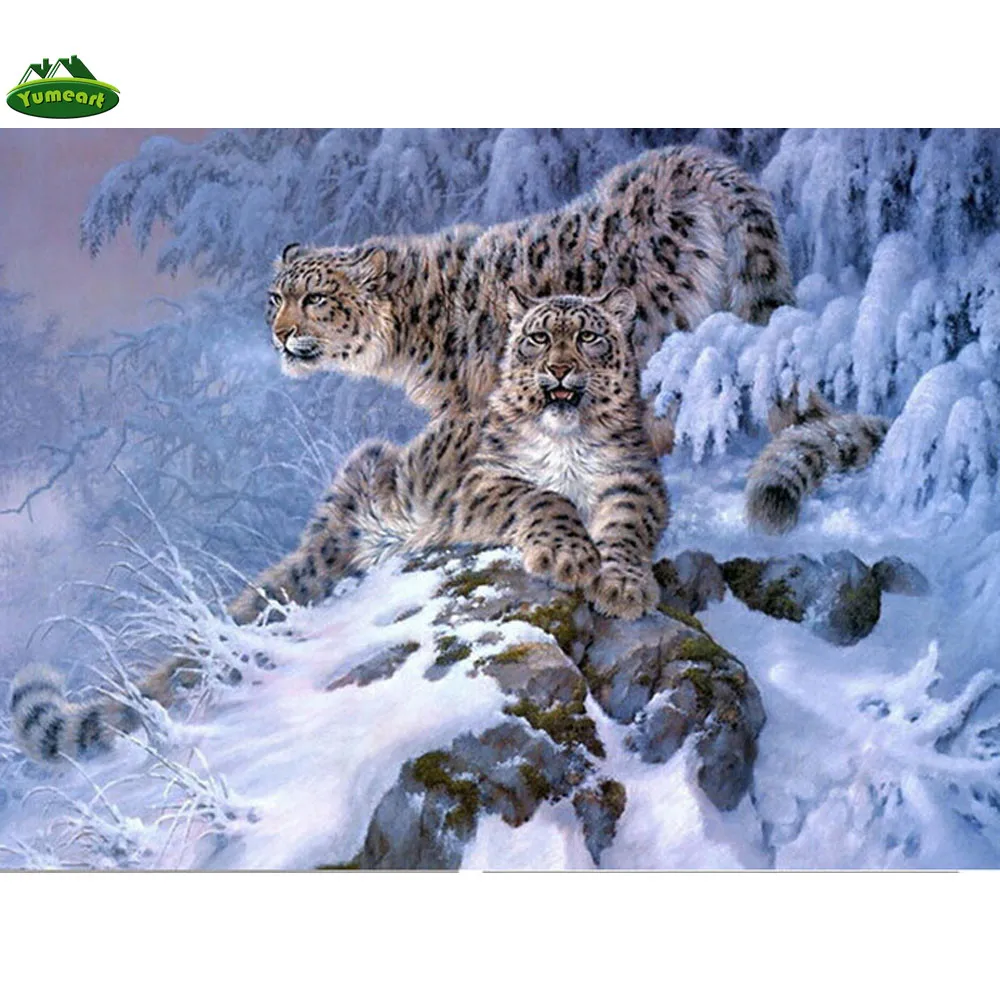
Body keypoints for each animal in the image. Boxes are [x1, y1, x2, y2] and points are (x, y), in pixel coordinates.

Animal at [11, 289, 668, 761]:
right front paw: (571, 556)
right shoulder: (483, 481)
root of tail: (339, 523)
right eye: (537, 338)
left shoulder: (633, 479)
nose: (557, 370)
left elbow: (626, 528)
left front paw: (623, 585)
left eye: (588, 336)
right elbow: (543, 498)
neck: (568, 442)